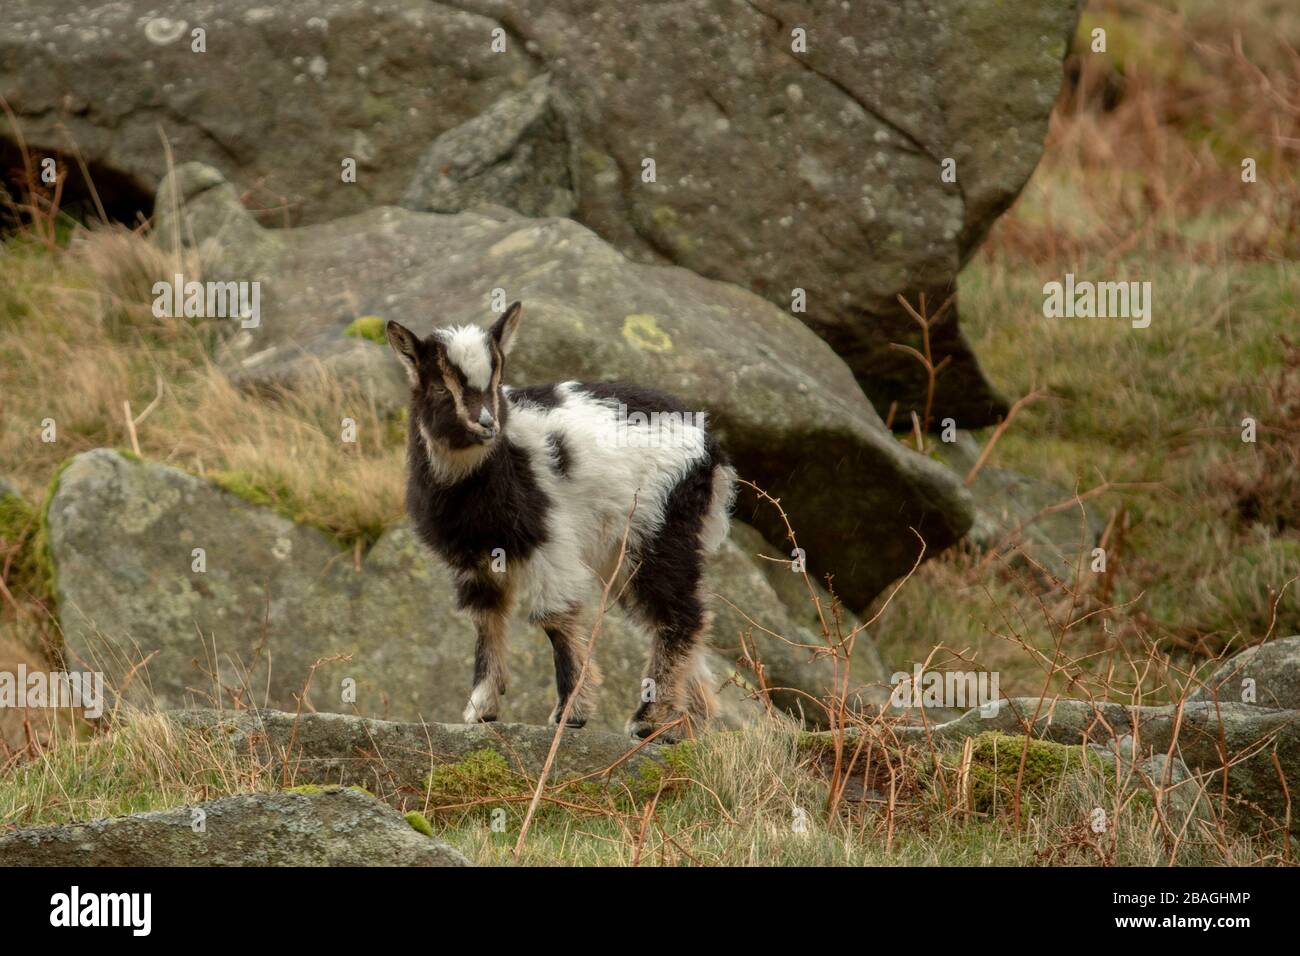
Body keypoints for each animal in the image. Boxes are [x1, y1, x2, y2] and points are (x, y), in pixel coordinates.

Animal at [385, 302, 737, 740]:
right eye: (437, 388)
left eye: (497, 380)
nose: (487, 424)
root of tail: (712, 451)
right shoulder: (473, 559)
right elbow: (485, 618)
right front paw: (480, 707)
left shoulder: (549, 540)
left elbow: (553, 616)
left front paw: (570, 713)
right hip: (623, 552)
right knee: (664, 617)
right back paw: (687, 723)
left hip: (660, 528)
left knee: (680, 614)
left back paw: (649, 719)